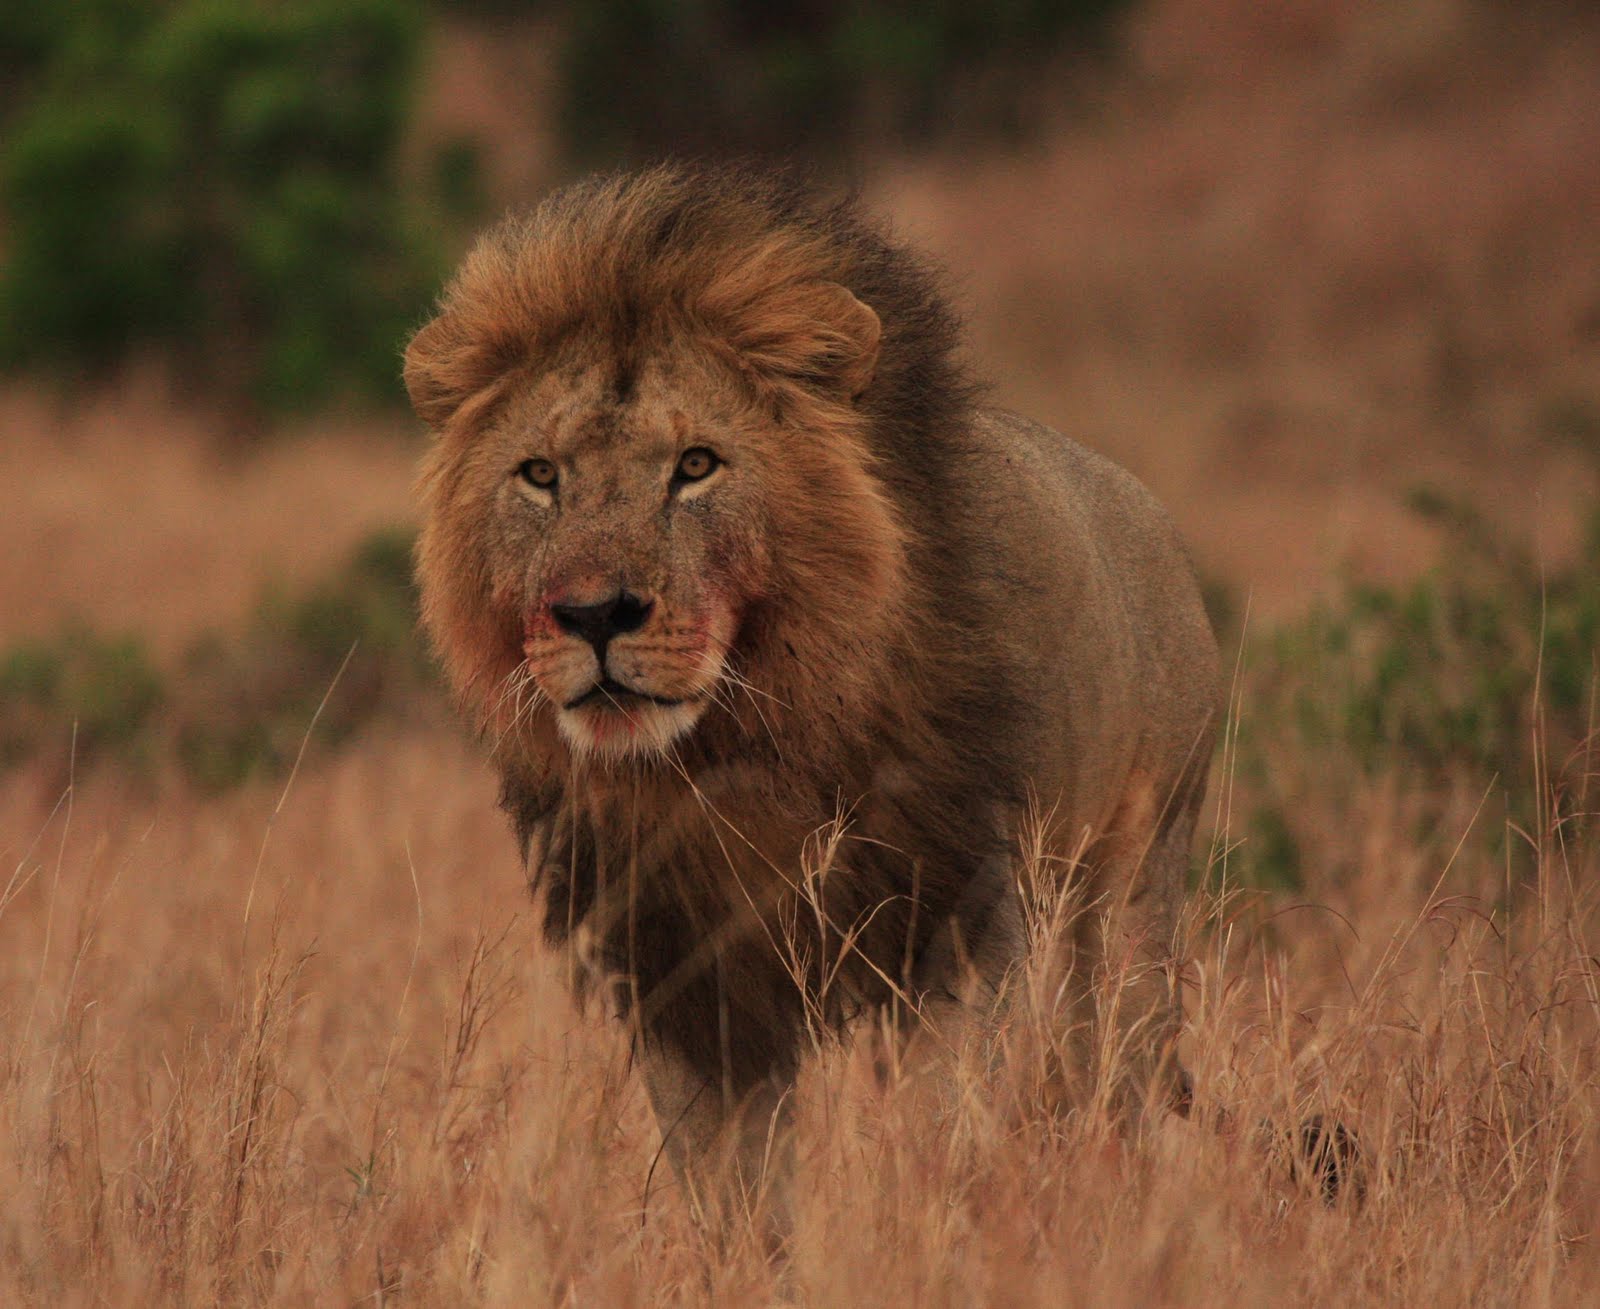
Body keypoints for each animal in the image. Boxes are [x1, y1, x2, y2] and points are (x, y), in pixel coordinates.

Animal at [404, 164, 1221, 1221]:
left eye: (697, 465)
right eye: (540, 475)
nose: (592, 614)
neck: (733, 754)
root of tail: (1153, 519)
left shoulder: (956, 926)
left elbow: (938, 1125)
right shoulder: (681, 973)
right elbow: (732, 1191)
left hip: (1131, 886)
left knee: (1110, 1069)